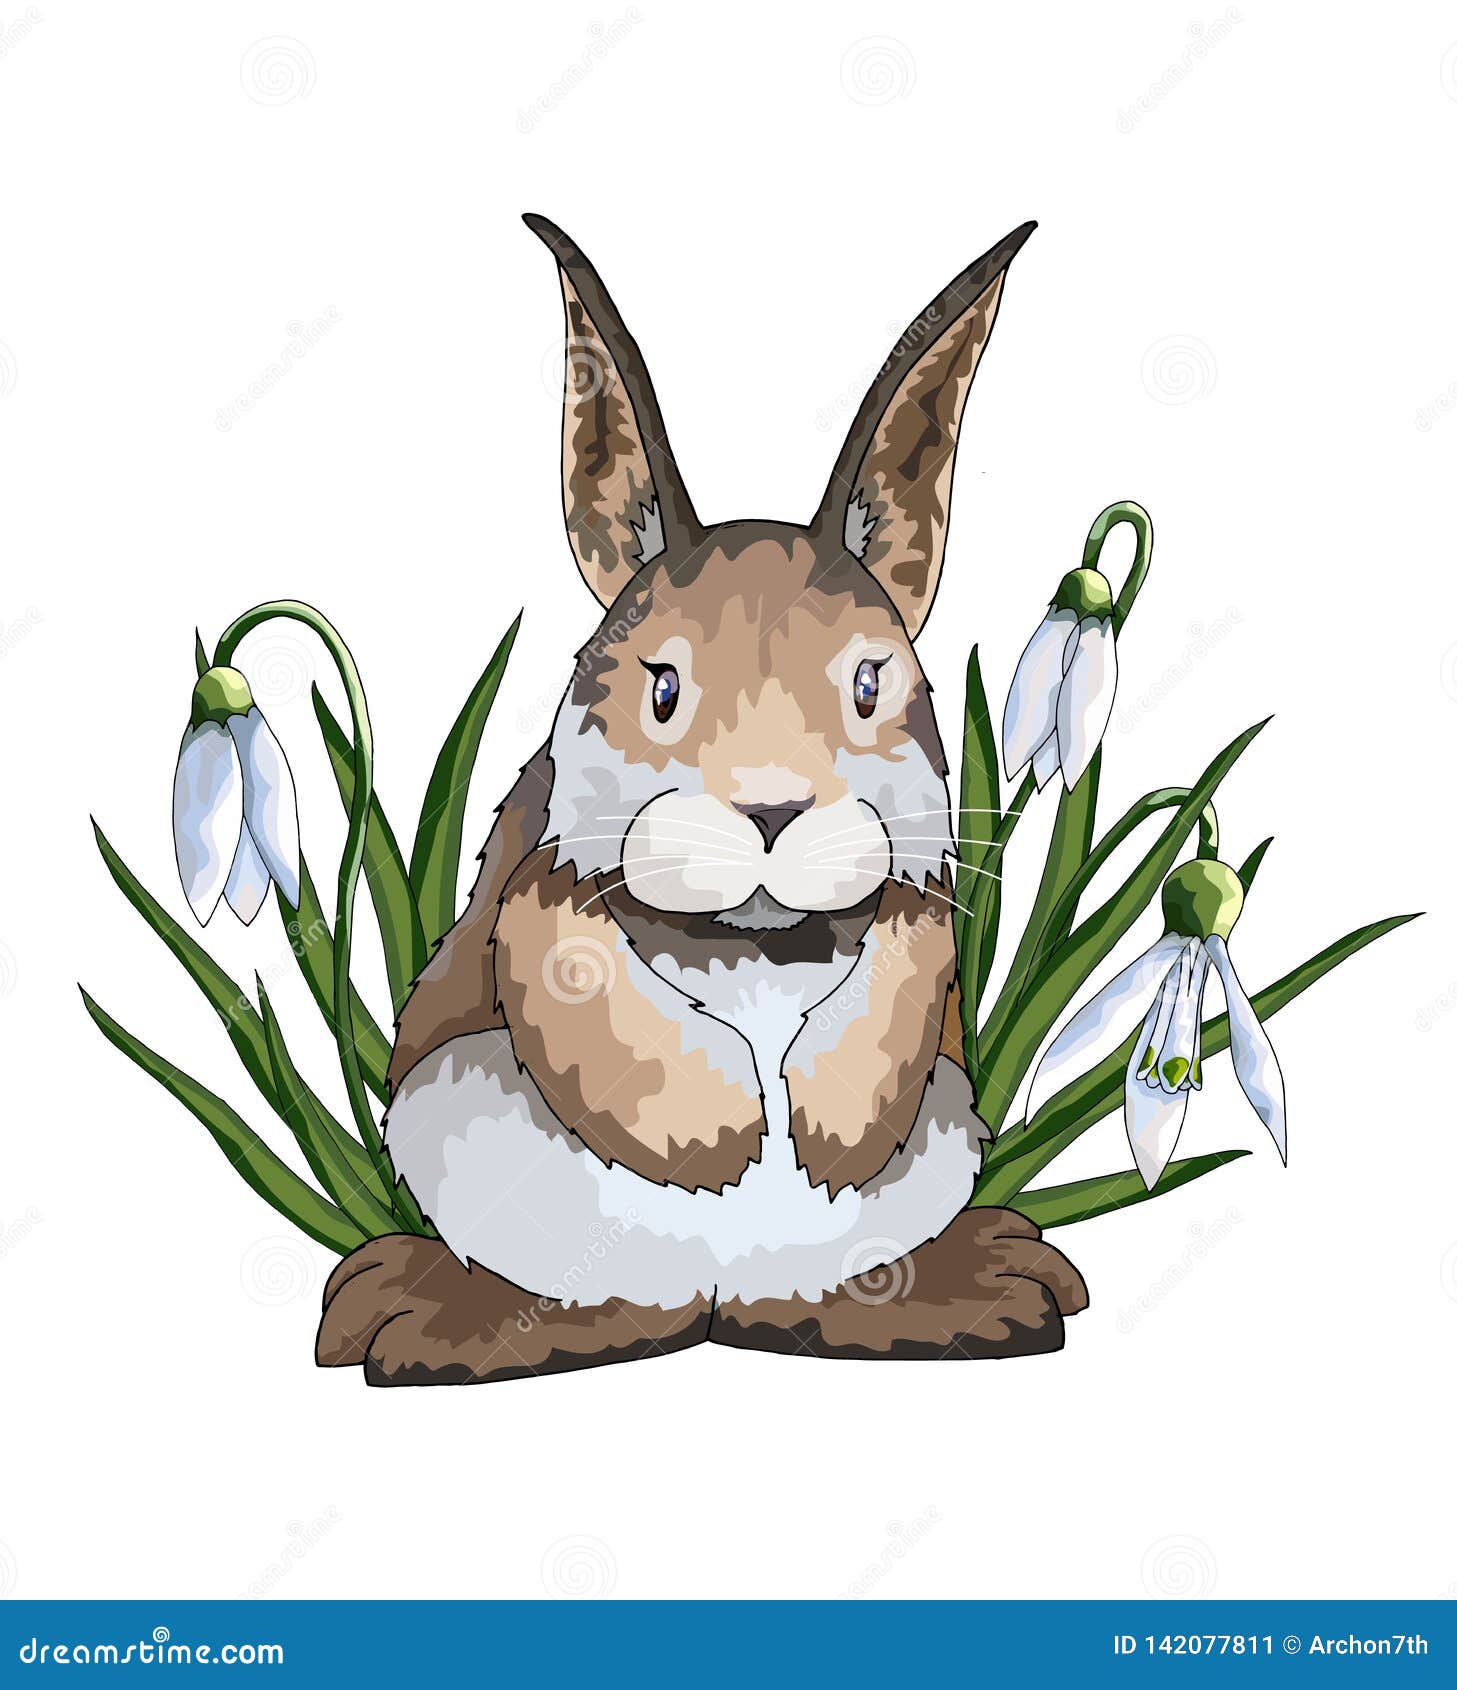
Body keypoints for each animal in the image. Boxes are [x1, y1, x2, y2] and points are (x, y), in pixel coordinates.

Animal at [317, 214, 1087, 1386]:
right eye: (662, 687)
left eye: (870, 685)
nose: (769, 813)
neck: (754, 935)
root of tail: (719, 1301)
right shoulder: (542, 878)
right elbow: (563, 972)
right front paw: (713, 1141)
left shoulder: (917, 900)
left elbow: (908, 974)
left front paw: (825, 1133)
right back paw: (436, 1319)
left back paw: (968, 1290)